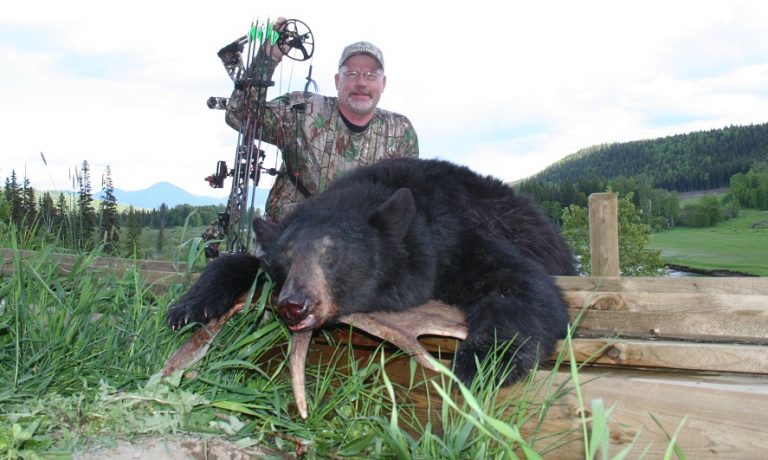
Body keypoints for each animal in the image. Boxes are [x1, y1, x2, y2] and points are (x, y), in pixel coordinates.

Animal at [167, 157, 576, 385]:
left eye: (333, 255)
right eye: (285, 260)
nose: (293, 305)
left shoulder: (456, 237)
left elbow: (520, 281)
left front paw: (482, 362)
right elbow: (241, 260)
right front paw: (189, 306)